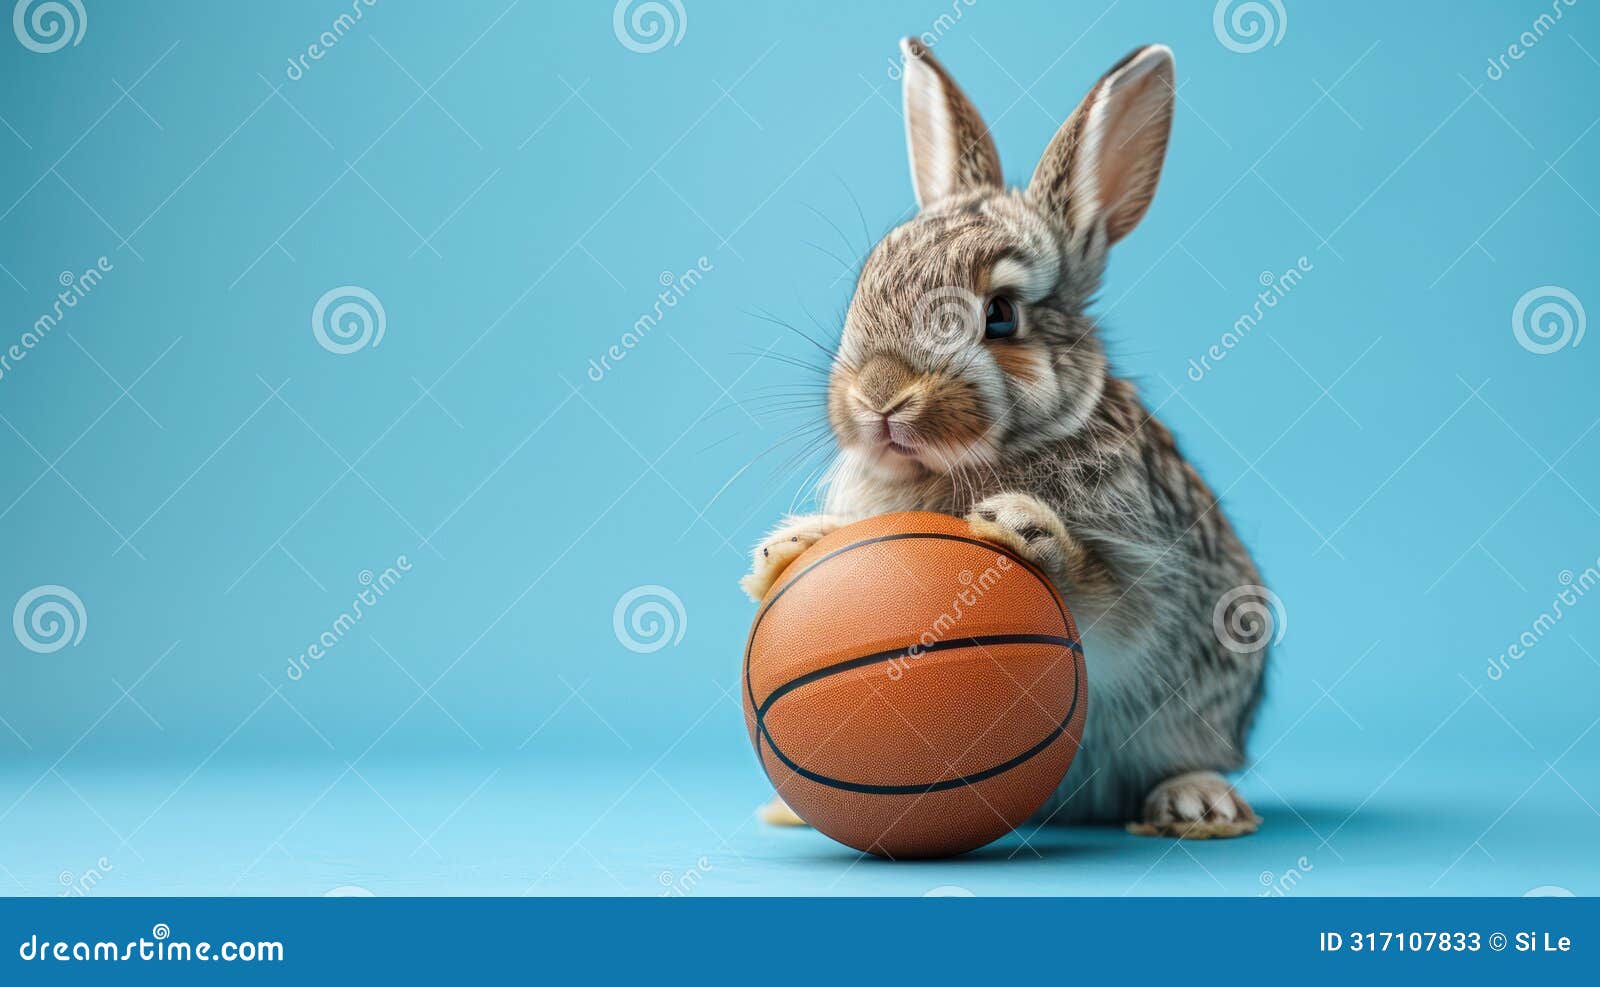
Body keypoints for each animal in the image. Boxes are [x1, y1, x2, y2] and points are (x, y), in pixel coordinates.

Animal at [740, 39, 1271, 839]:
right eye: (866, 284)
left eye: (1000, 315)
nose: (879, 397)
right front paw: (789, 548)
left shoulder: (1147, 574)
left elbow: (1112, 603)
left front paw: (1025, 528)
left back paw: (1198, 804)